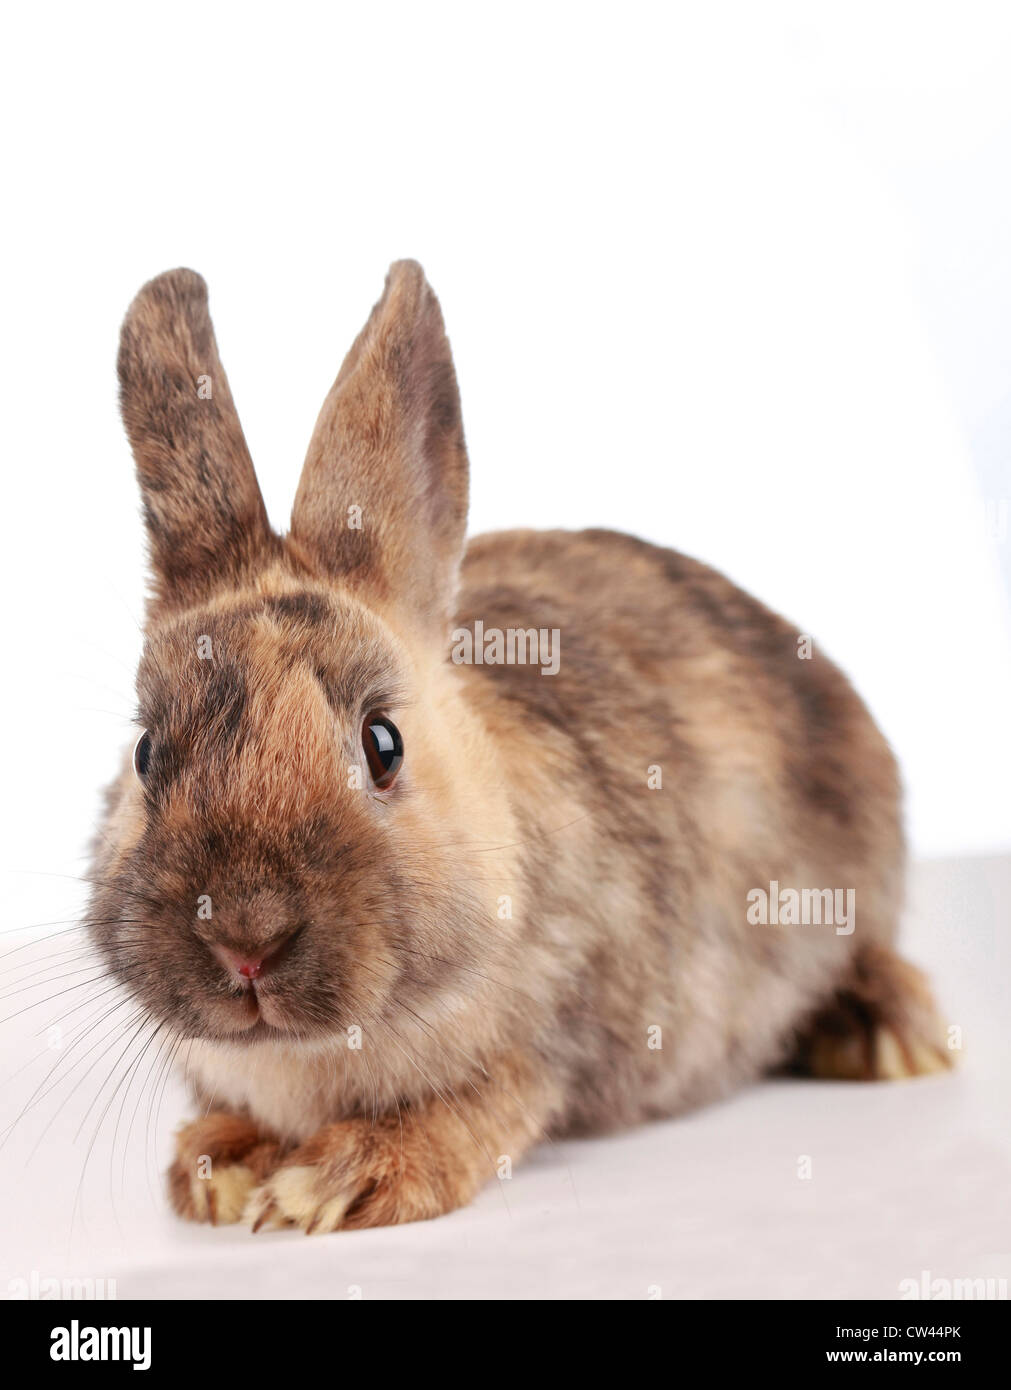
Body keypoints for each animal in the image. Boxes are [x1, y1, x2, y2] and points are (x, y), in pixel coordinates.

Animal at [88, 261, 952, 1234]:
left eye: (382, 745)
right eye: (147, 753)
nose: (245, 937)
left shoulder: (552, 1045)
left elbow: (484, 1111)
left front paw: (333, 1182)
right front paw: (215, 1167)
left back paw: (885, 1037)